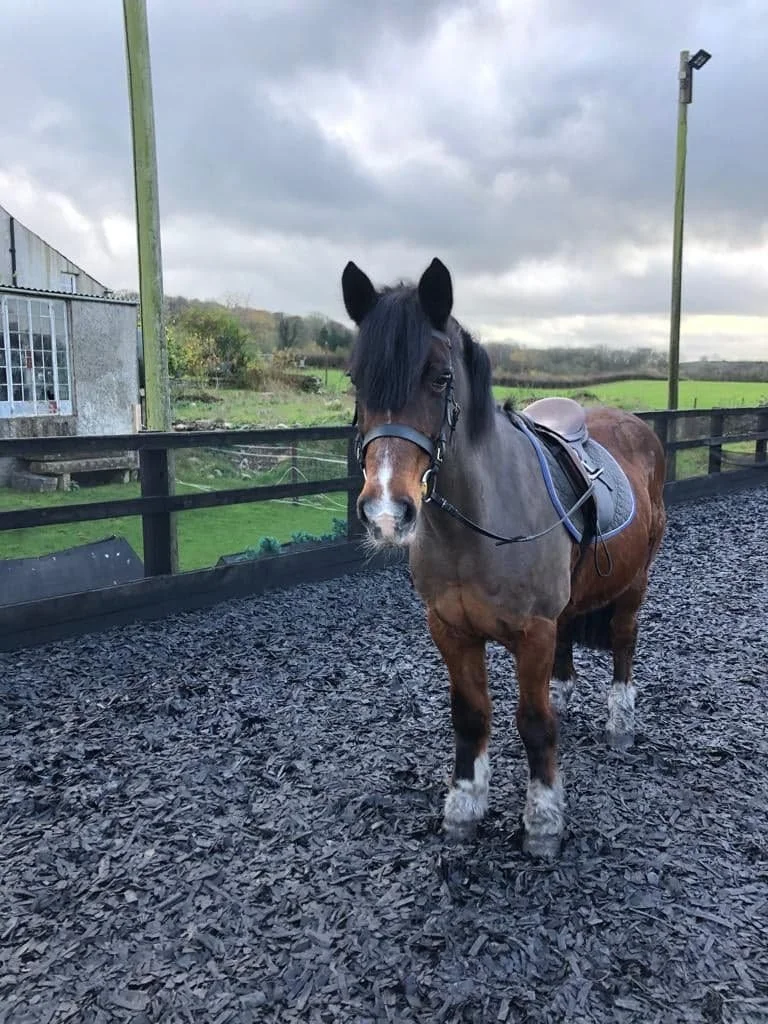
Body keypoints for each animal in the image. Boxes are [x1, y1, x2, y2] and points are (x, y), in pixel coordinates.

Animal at [342, 257, 667, 857]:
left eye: (440, 378)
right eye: (357, 380)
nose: (385, 511)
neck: (476, 527)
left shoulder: (532, 632)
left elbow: (533, 723)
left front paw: (543, 823)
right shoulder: (450, 629)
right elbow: (470, 716)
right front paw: (464, 809)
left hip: (634, 587)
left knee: (623, 644)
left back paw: (620, 725)